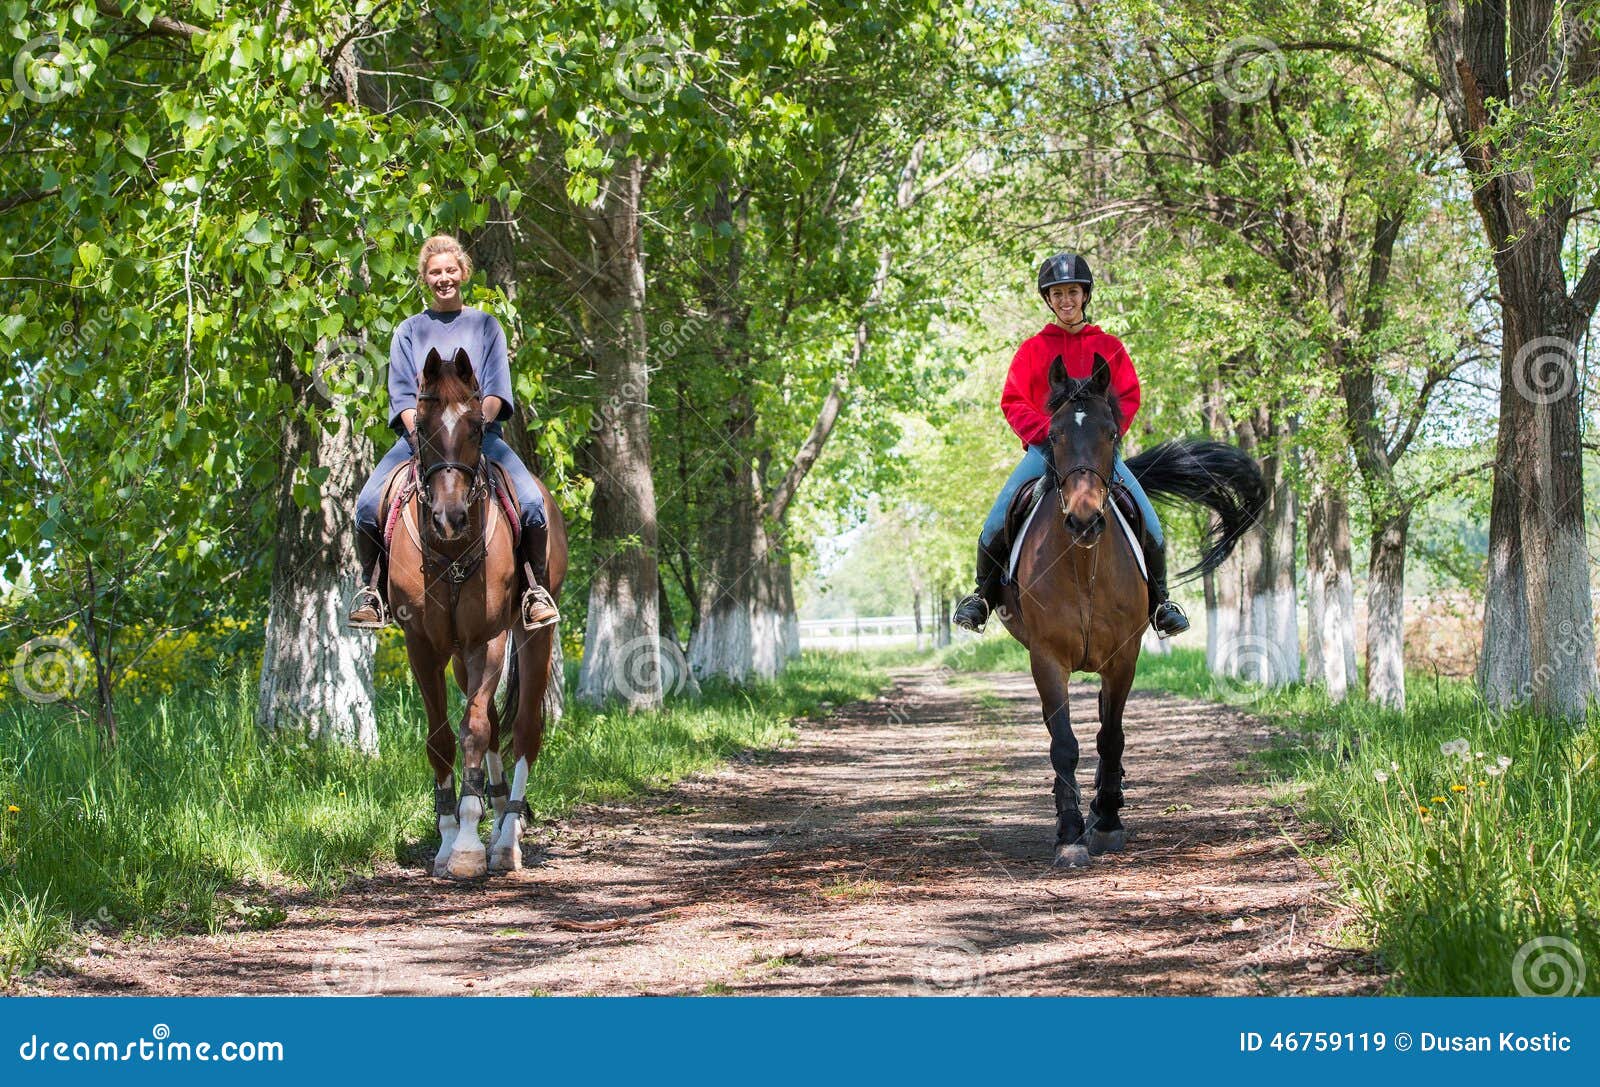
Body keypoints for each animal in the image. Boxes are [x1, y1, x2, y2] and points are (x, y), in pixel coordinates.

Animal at [387, 346, 568, 878]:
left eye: (474, 426)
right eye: (423, 426)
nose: (450, 517)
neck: (450, 552)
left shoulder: (487, 638)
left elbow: (476, 730)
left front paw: (468, 844)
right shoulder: (423, 645)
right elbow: (443, 738)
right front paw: (449, 840)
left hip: (532, 636)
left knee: (523, 729)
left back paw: (506, 840)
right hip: (461, 657)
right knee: (484, 715)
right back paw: (498, 810)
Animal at [996, 353, 1265, 868]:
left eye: (1111, 432)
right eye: (1053, 435)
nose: (1084, 521)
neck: (1083, 564)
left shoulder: (1124, 657)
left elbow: (1111, 736)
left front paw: (1106, 822)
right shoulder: (1046, 659)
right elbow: (1064, 743)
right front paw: (1069, 834)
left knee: (1106, 724)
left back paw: (1109, 801)